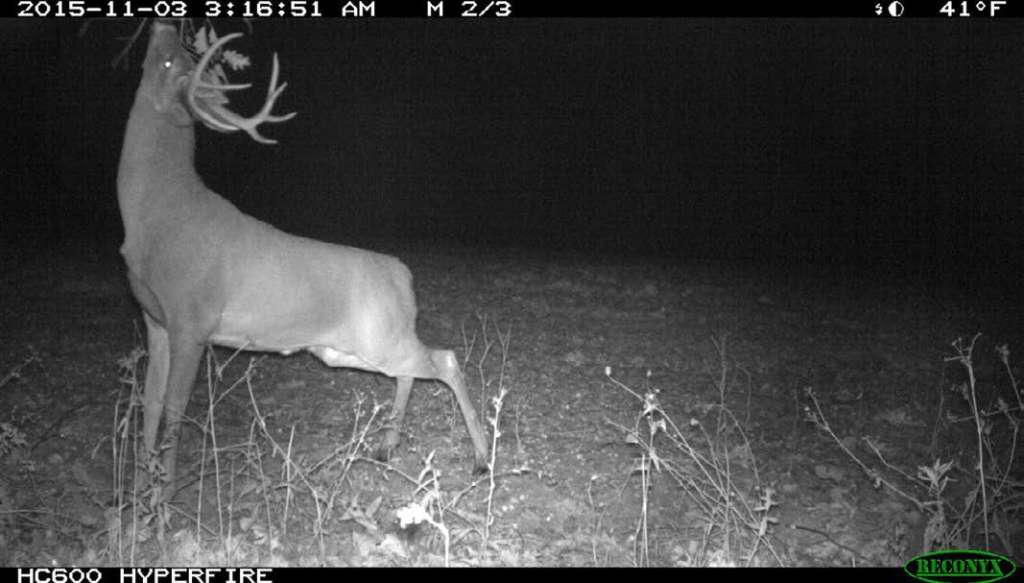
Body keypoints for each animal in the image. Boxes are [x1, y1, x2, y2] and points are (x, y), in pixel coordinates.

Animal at [117, 21, 489, 498]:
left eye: (170, 60)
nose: (162, 24)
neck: (151, 217)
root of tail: (403, 274)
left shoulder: (192, 320)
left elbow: (174, 409)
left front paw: (163, 497)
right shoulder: (155, 319)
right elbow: (148, 404)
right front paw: (136, 493)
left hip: (380, 338)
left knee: (445, 359)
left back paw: (481, 459)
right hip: (349, 348)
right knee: (410, 371)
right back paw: (386, 447)